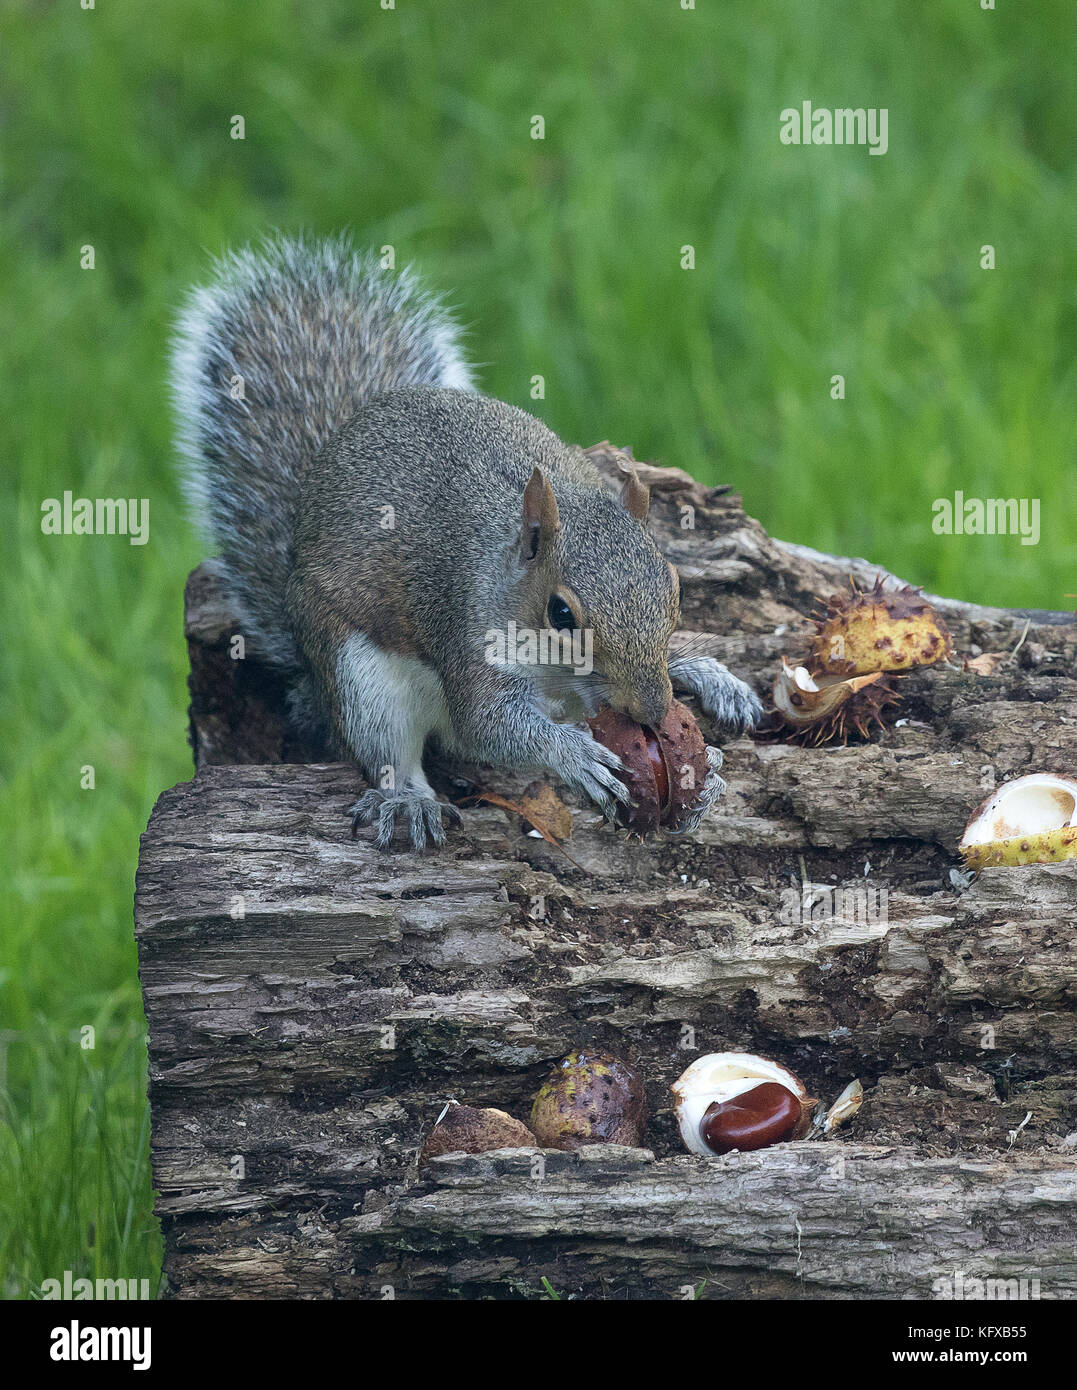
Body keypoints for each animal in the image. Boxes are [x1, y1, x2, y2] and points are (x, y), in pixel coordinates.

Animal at [170, 233, 762, 850]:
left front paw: (704, 702)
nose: (650, 708)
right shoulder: (466, 631)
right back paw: (409, 800)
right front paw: (572, 755)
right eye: (561, 614)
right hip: (359, 681)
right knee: (390, 751)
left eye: (673, 587)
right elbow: (490, 727)